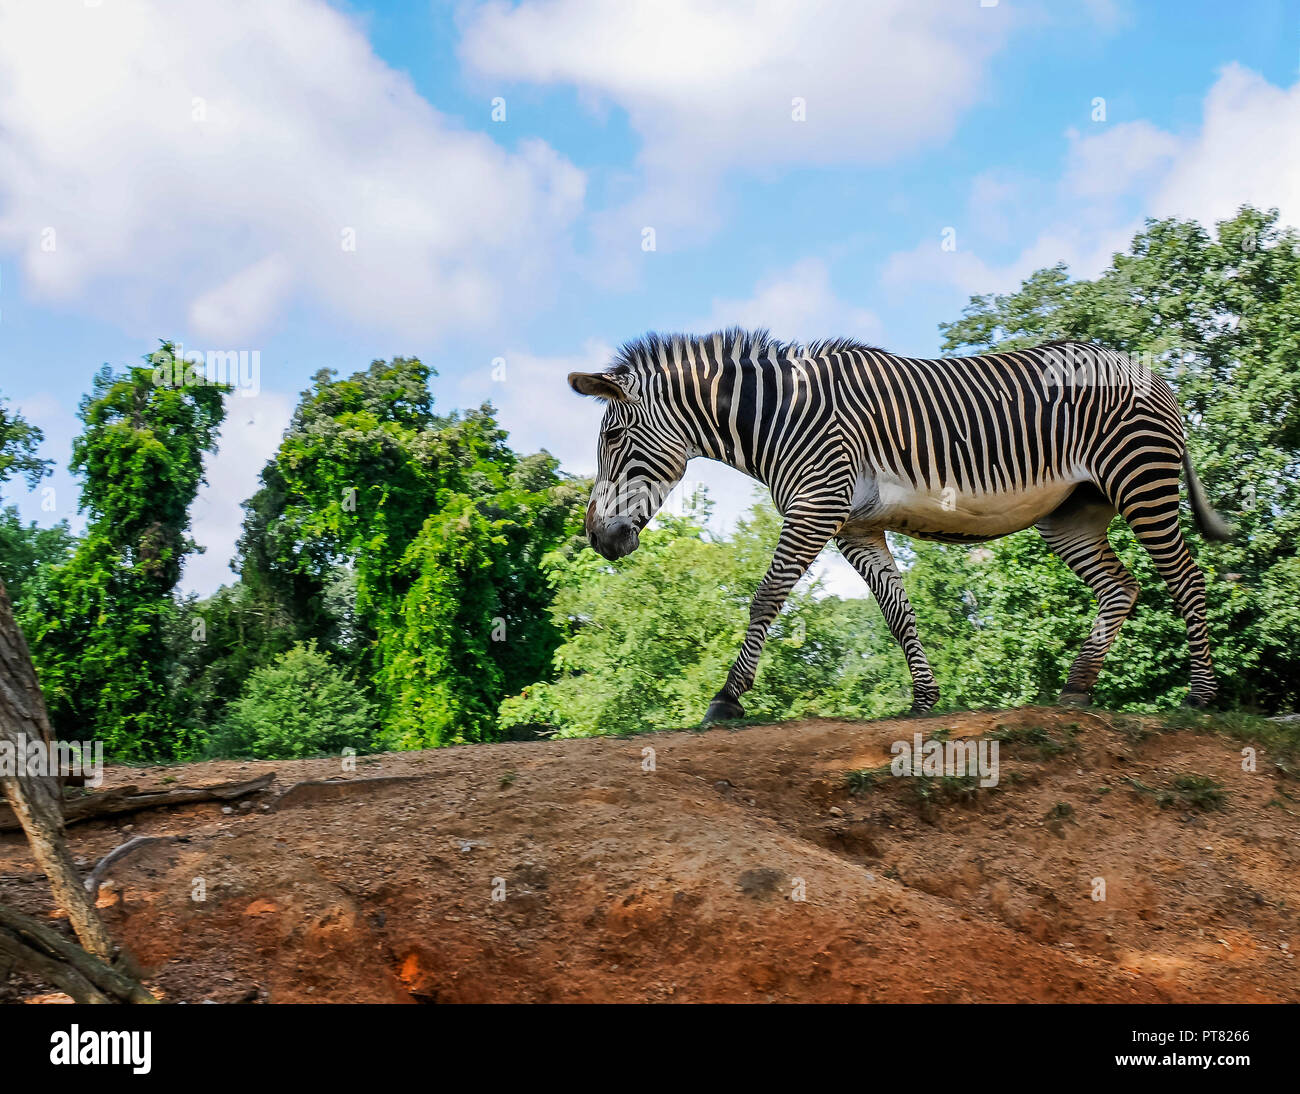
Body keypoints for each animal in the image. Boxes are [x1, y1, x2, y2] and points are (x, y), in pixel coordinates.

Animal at [568, 329, 1234, 723]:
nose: (598, 539)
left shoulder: (816, 505)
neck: (782, 415)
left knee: (1186, 580)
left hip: (1140, 482)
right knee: (1122, 587)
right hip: (1071, 515)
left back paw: (1201, 697)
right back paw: (1076, 690)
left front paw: (727, 699)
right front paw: (924, 698)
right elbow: (897, 611)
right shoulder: (853, 527)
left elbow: (766, 597)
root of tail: (1143, 365)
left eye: (614, 438)